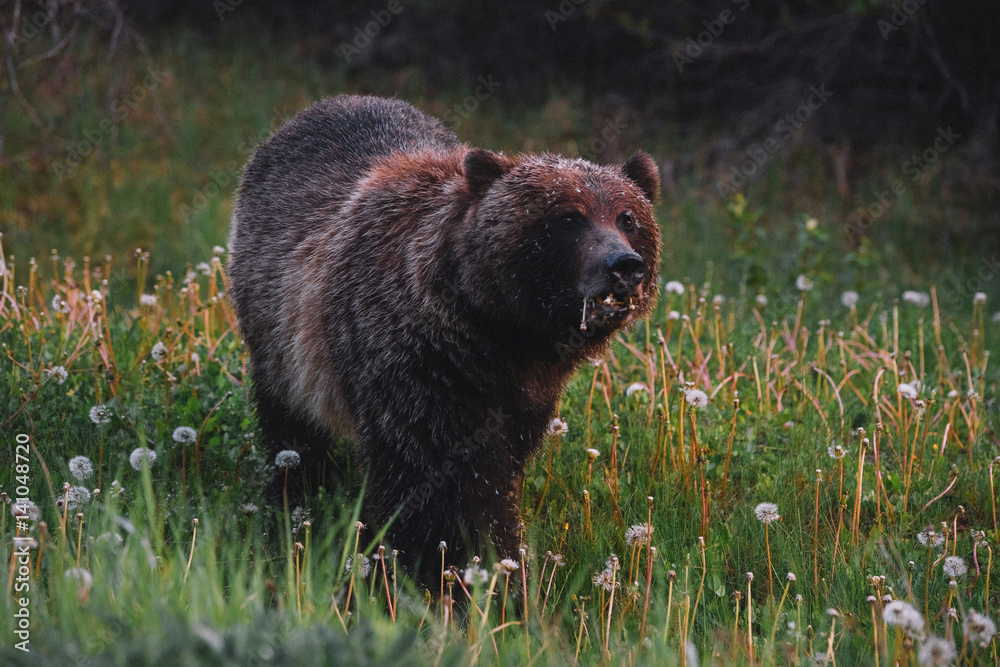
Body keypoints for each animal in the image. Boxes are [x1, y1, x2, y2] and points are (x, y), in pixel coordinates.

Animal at [227, 94, 660, 583]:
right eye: (568, 217)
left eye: (628, 217)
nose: (624, 265)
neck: (498, 333)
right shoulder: (414, 364)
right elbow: (443, 478)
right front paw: (461, 561)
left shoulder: (527, 392)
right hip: (279, 325)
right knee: (290, 422)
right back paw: (295, 488)